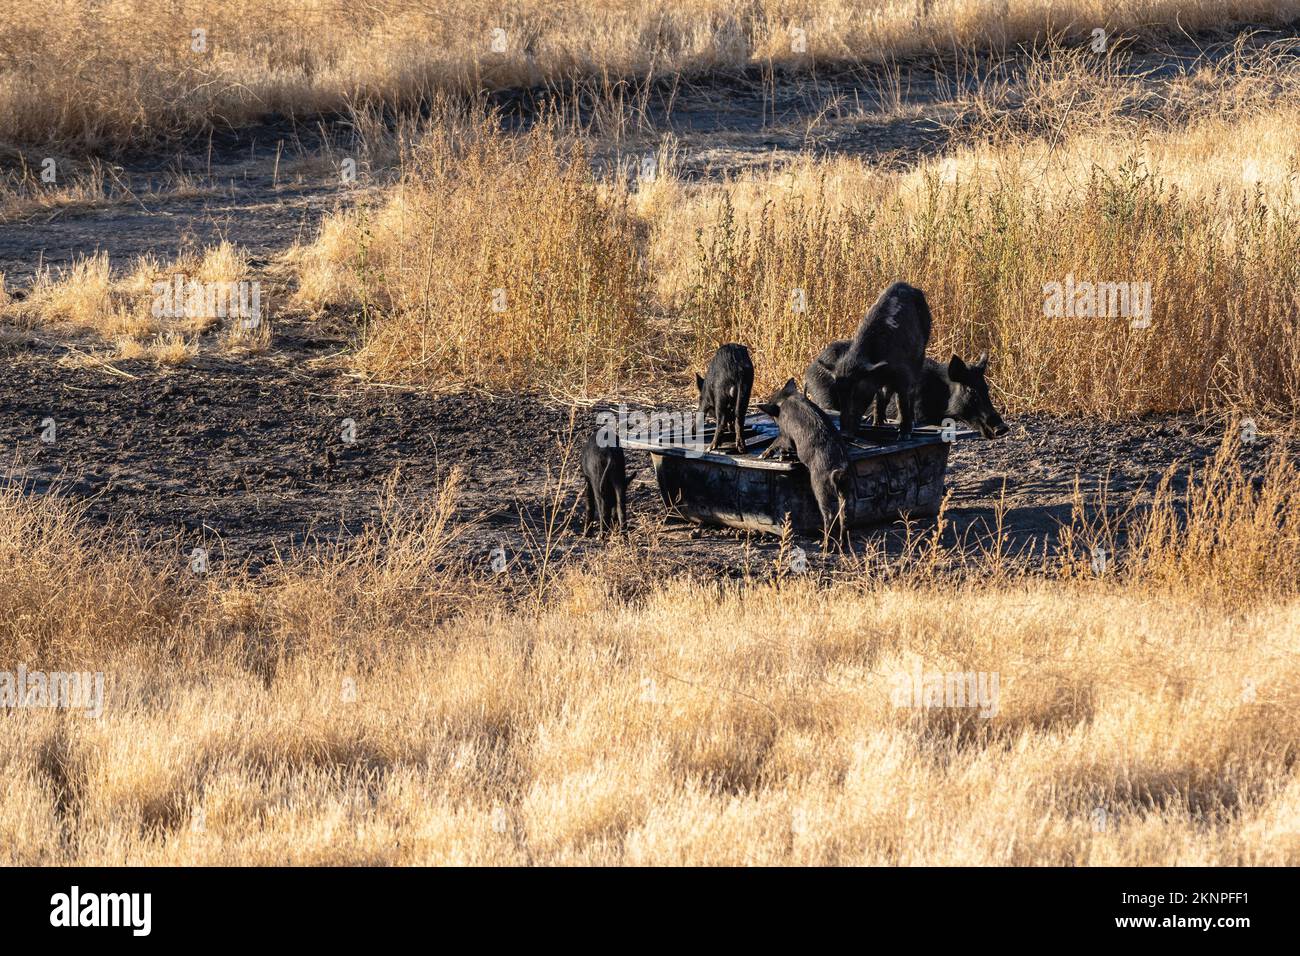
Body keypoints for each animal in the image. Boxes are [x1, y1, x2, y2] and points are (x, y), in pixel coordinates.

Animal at [758, 378, 856, 547]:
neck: (786, 399)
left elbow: (778, 442)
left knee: (829, 514)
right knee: (845, 514)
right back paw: (841, 543)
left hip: (819, 485)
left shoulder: (786, 434)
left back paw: (823, 545)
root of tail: (839, 469)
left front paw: (764, 455)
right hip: (846, 487)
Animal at [804, 281, 932, 439]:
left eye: (857, 391)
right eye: (839, 392)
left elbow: (902, 400)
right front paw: (876, 424)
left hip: (921, 355)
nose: (845, 434)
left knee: (910, 391)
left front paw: (904, 434)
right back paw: (877, 422)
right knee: (884, 393)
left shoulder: (903, 374)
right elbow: (879, 394)